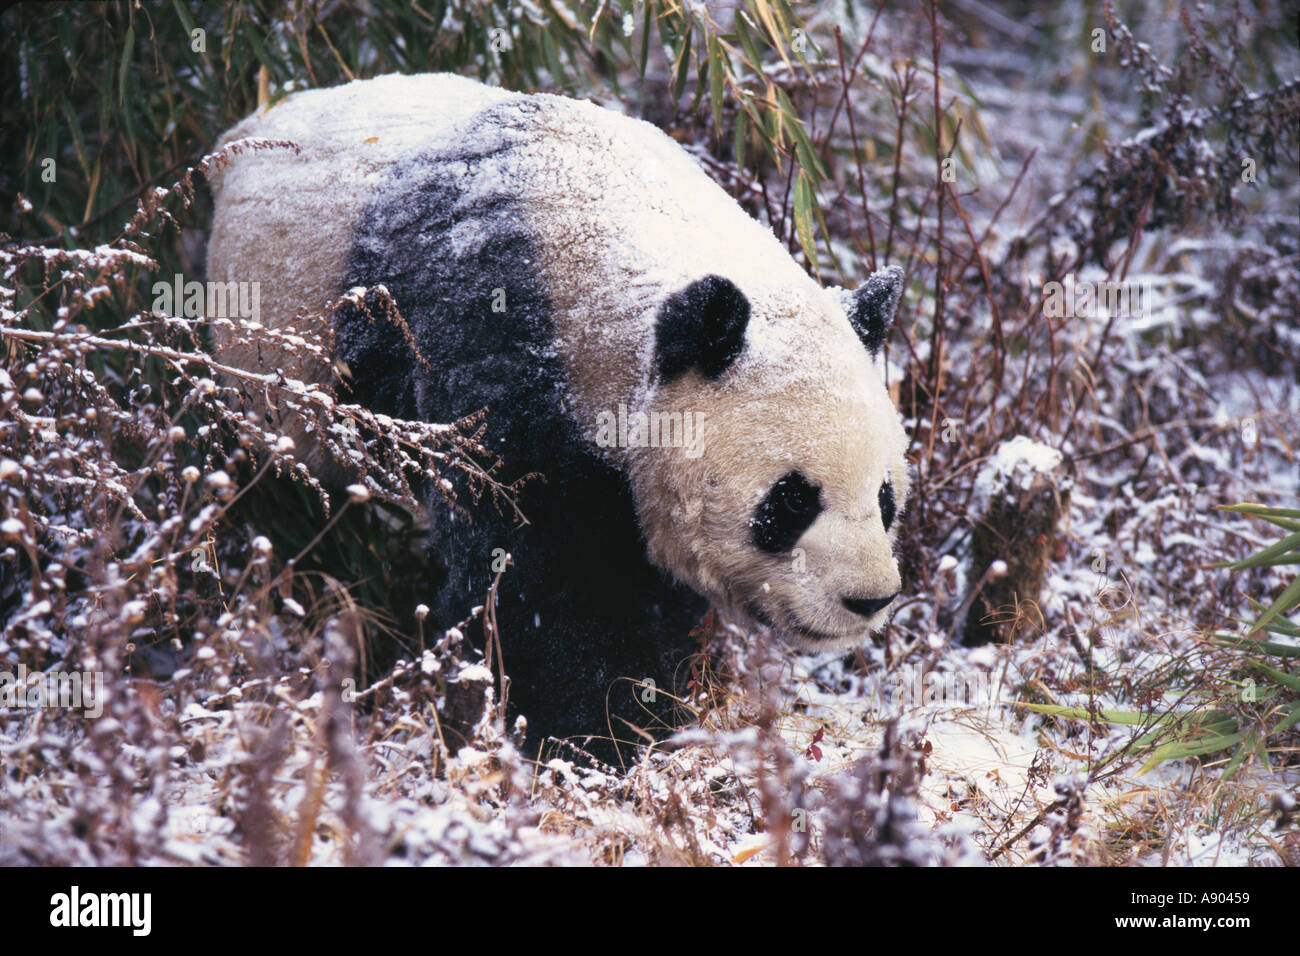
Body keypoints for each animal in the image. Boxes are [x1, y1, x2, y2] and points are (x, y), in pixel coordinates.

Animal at [206, 73, 910, 761]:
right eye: (790, 500)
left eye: (885, 499)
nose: (869, 598)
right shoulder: (494, 344)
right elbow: (532, 574)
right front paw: (600, 732)